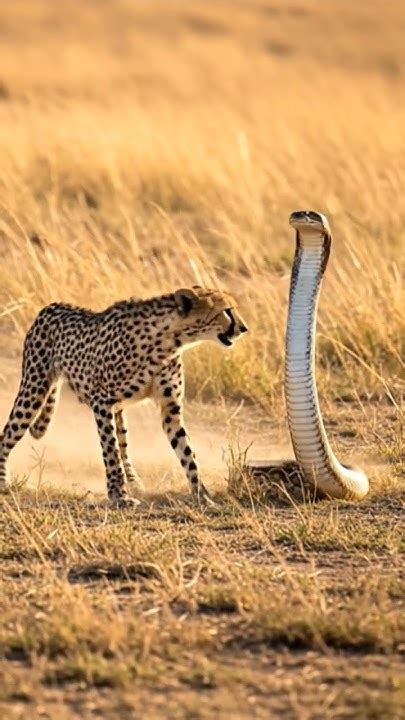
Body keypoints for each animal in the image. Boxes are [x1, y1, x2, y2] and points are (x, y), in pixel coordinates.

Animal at [0, 286, 248, 507]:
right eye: (227, 310)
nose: (244, 328)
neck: (169, 340)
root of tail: (51, 305)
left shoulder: (170, 409)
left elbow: (187, 453)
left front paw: (201, 495)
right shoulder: (102, 402)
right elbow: (110, 452)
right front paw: (119, 495)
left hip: (116, 410)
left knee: (124, 443)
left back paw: (135, 481)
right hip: (34, 390)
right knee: (8, 434)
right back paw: (2, 481)